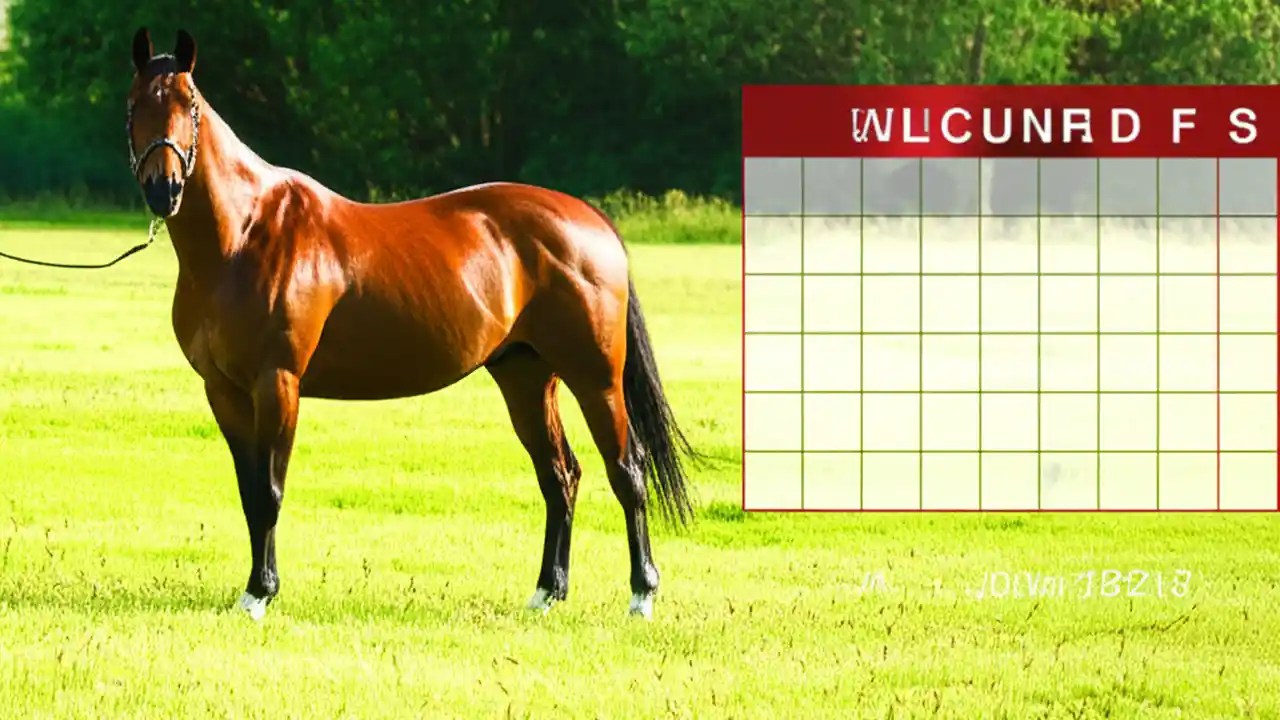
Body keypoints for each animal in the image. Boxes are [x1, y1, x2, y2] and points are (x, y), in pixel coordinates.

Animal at [123, 27, 696, 620]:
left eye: (188, 104)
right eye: (134, 105)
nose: (163, 188)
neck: (245, 234)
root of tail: (591, 221)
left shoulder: (277, 384)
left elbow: (271, 491)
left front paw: (261, 592)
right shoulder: (224, 391)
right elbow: (248, 492)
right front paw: (253, 588)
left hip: (596, 378)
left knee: (627, 470)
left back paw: (641, 594)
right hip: (526, 377)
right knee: (560, 476)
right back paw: (546, 592)